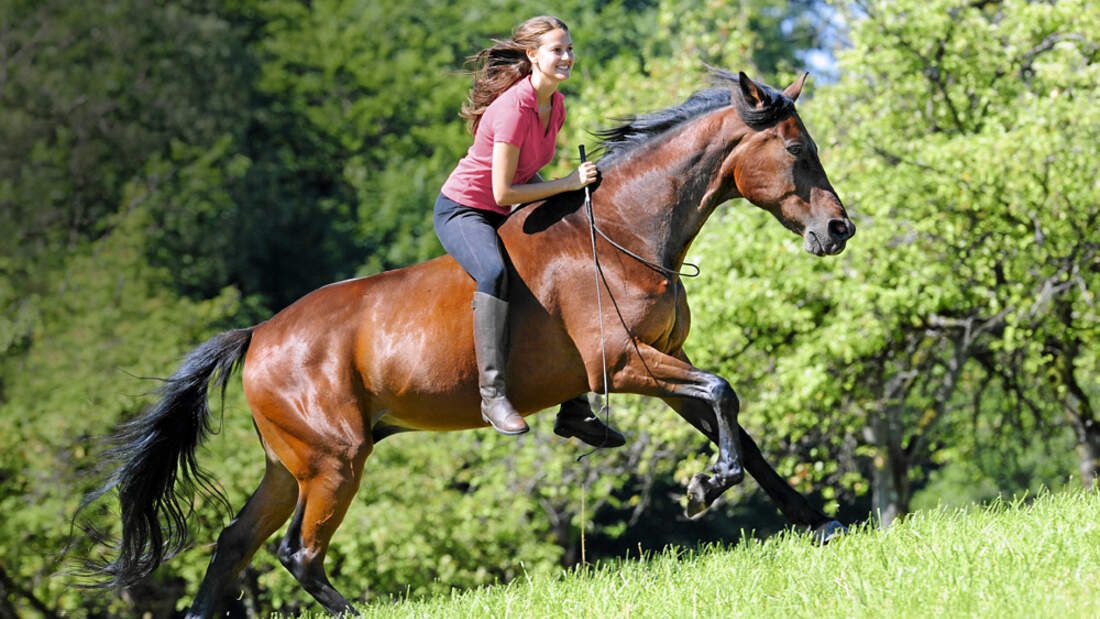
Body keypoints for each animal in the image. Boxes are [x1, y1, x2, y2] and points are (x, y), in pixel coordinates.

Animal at [80, 68, 854, 616]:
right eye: (796, 149)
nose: (840, 229)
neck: (623, 229)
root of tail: (259, 333)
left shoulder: (667, 363)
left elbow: (737, 426)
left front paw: (814, 522)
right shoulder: (626, 362)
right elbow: (726, 394)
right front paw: (704, 487)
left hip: (288, 464)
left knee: (234, 544)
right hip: (335, 461)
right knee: (298, 552)